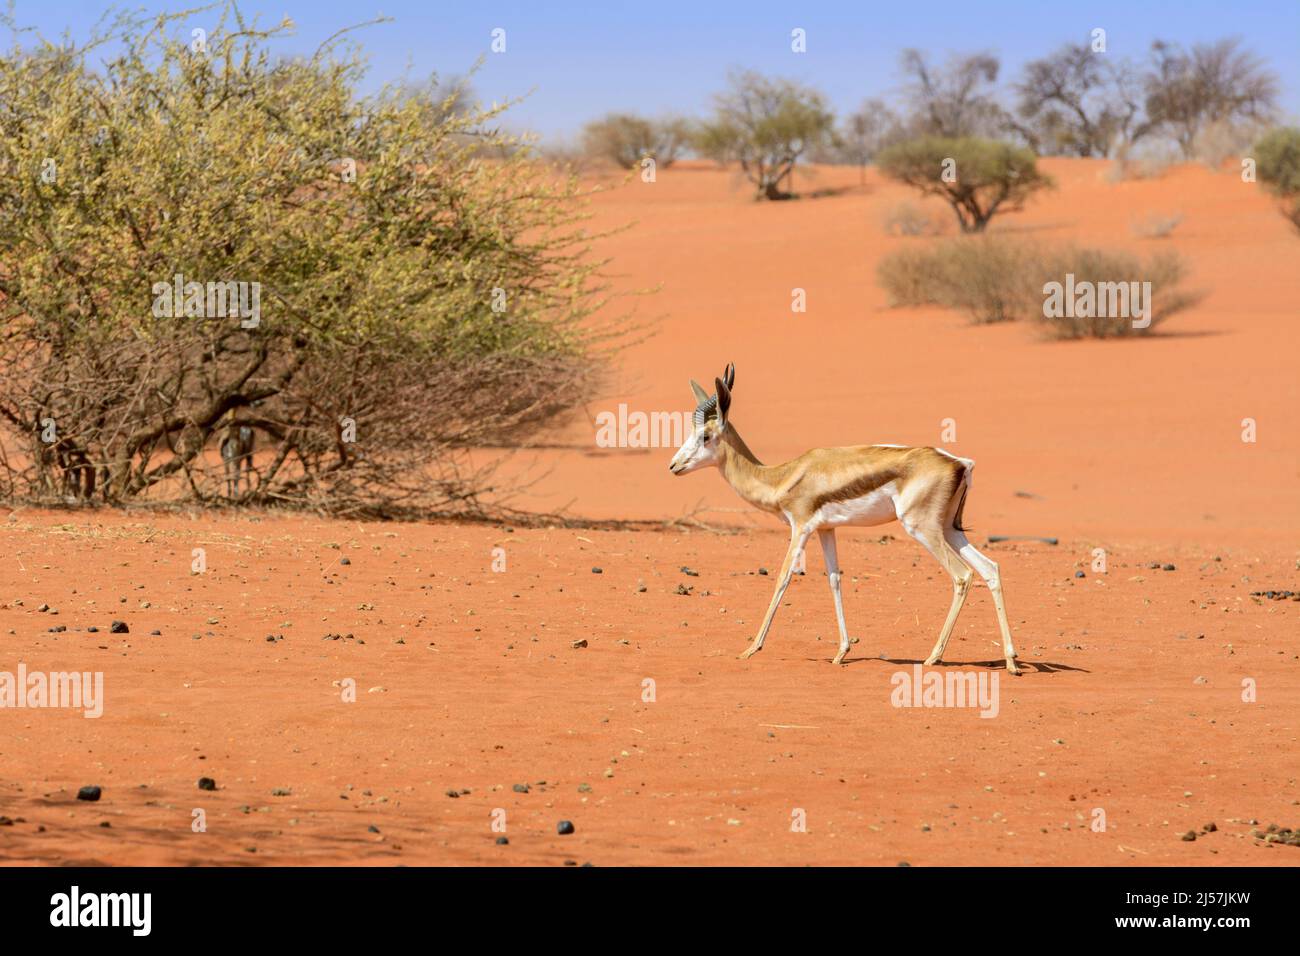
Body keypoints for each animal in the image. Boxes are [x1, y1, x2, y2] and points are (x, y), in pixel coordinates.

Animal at [668, 364, 1020, 674]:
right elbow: (834, 580)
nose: (674, 466)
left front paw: (751, 648)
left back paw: (934, 657)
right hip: (949, 529)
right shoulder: (827, 529)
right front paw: (841, 652)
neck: (780, 477)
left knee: (962, 576)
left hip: (923, 529)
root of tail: (958, 463)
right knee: (990, 569)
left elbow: (783, 578)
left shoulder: (801, 527)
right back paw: (1012, 661)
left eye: (705, 436)